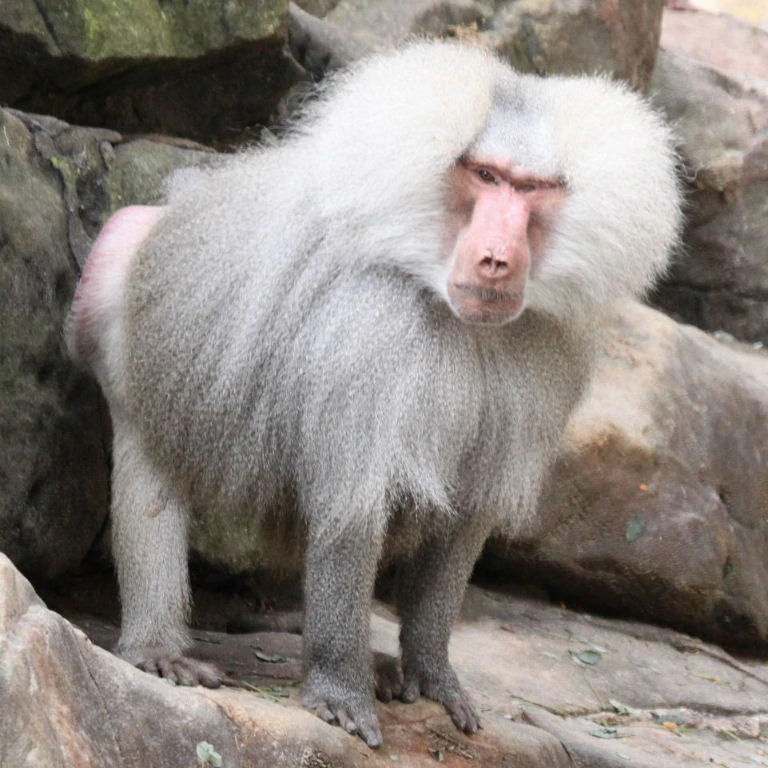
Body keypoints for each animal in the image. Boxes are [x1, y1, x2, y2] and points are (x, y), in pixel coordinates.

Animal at [66, 42, 681, 748]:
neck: (442, 299)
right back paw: (159, 650)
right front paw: (340, 691)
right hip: (119, 302)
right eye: (486, 176)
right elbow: (351, 510)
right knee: (148, 460)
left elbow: (464, 521)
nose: (498, 260)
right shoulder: (370, 330)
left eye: (532, 189)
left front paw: (432, 672)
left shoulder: (543, 352)